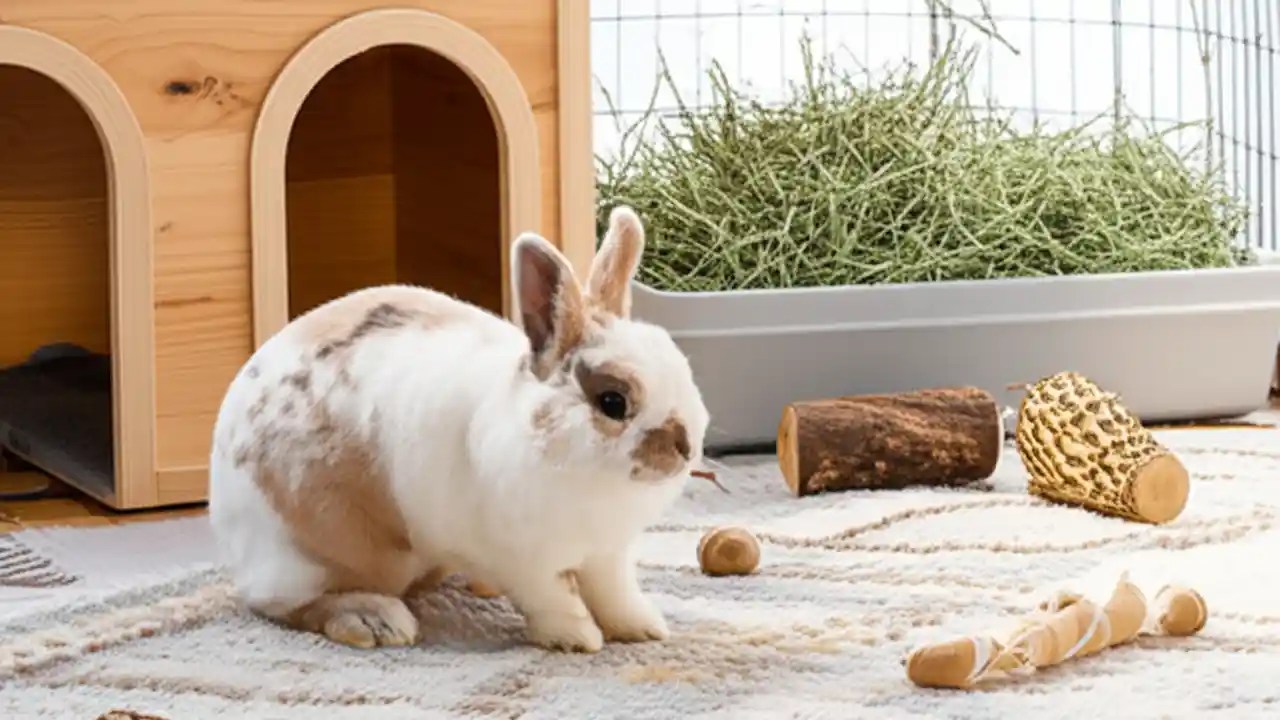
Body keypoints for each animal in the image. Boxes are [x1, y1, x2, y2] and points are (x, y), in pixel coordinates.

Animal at [207, 206, 710, 653]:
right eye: (613, 402)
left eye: (681, 366)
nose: (685, 446)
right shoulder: (526, 560)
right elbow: (556, 601)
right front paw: (576, 640)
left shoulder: (609, 555)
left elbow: (615, 594)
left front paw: (643, 629)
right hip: (301, 555)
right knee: (284, 604)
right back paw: (376, 620)